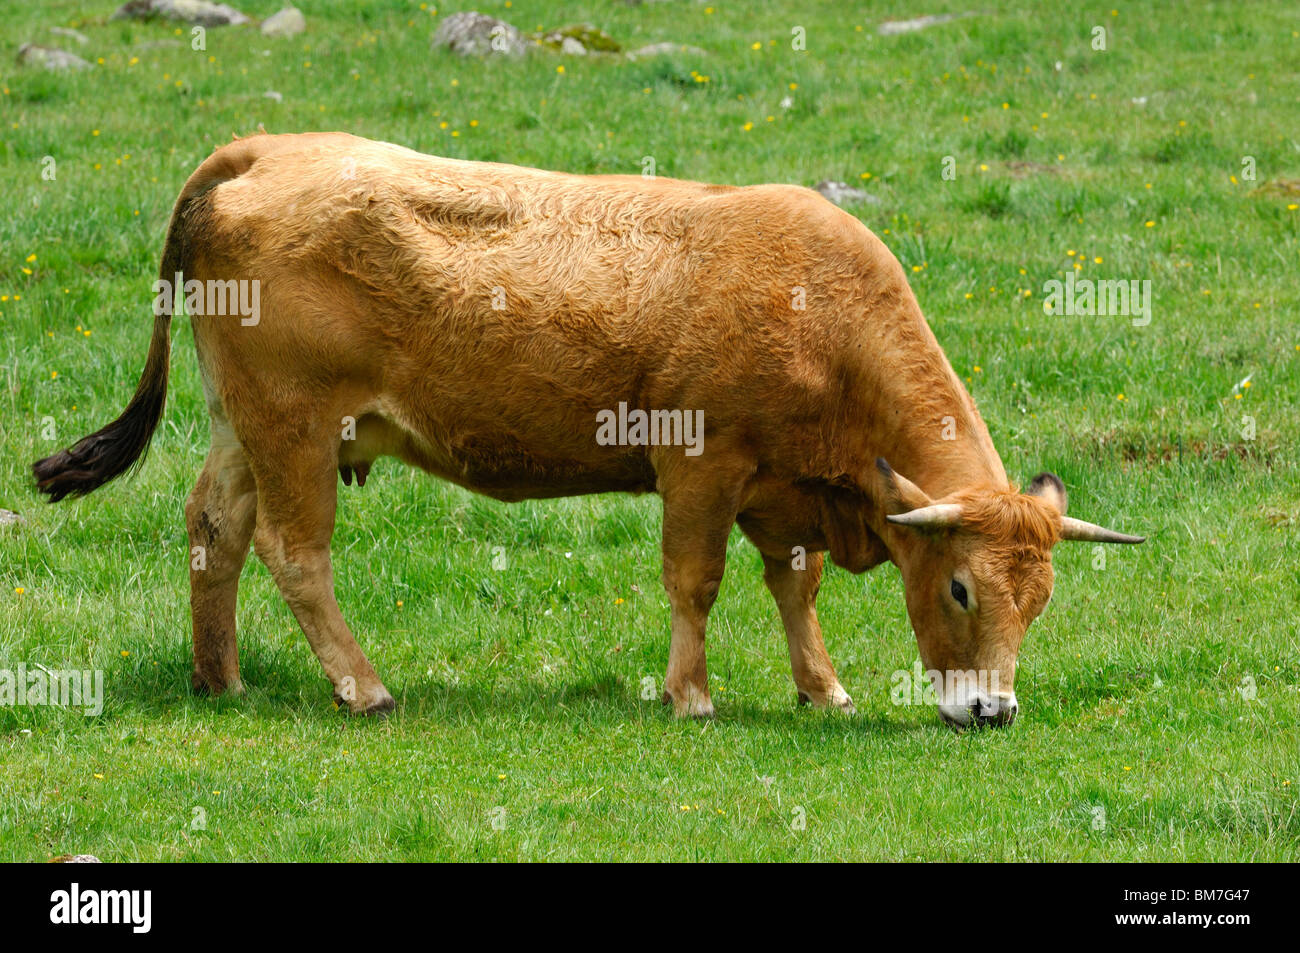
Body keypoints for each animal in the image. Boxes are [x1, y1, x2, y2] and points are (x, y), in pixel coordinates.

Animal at [32, 132, 1144, 727]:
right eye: (960, 587)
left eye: (1040, 599)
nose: (992, 709)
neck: (820, 311)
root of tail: (262, 149)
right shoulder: (701, 465)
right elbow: (695, 581)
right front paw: (690, 695)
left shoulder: (785, 493)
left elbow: (795, 587)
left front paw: (821, 687)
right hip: (294, 430)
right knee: (293, 551)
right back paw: (363, 686)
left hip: (246, 431)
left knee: (214, 530)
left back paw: (217, 676)